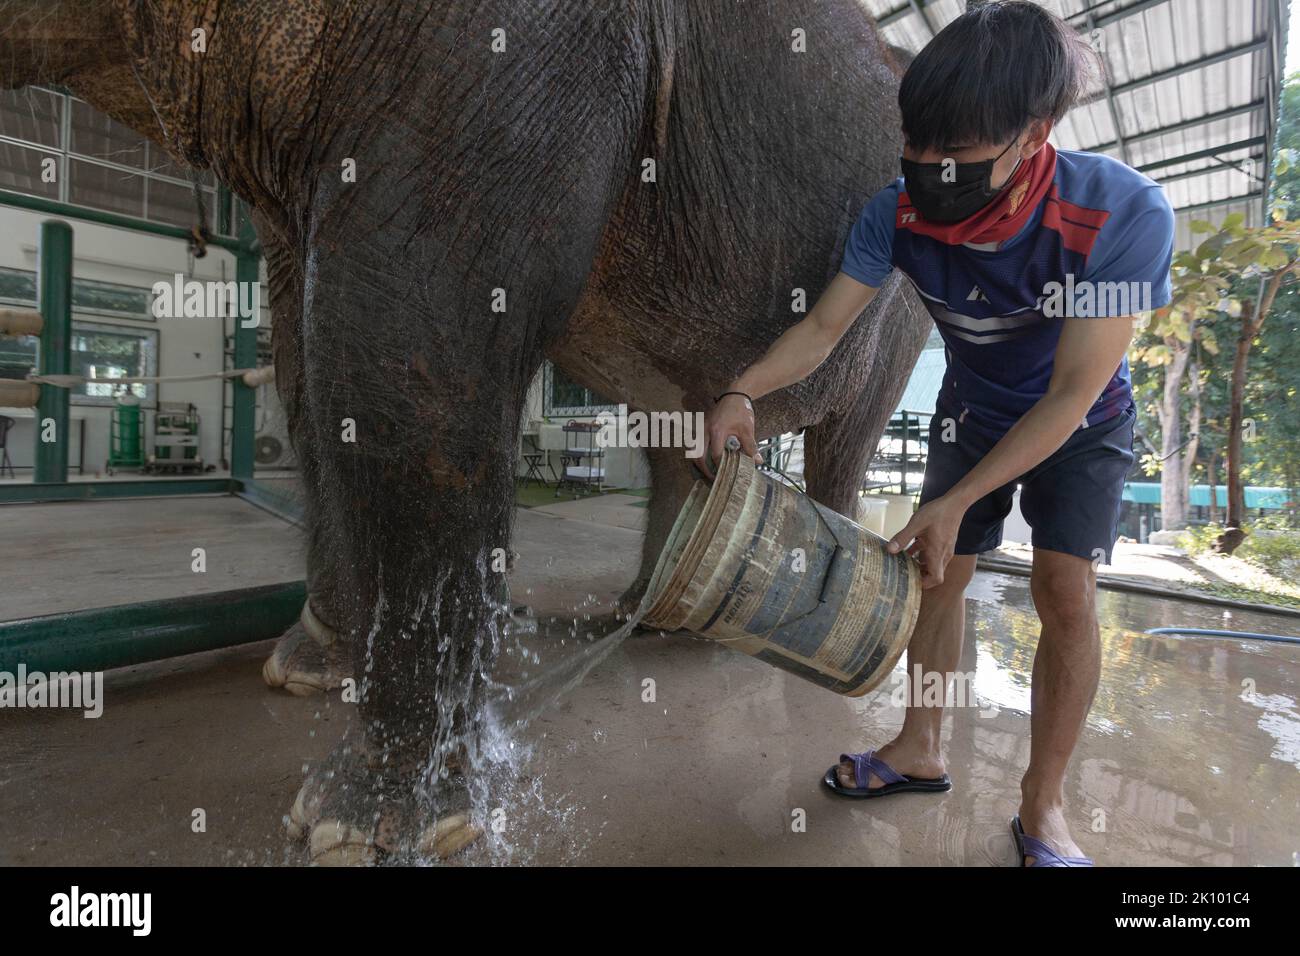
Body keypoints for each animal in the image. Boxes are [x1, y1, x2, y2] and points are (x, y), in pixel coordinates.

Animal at [2, 0, 930, 863]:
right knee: (676, 429)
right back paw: (651, 611)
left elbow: (408, 324)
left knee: (844, 440)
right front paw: (312, 670)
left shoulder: (520, 45)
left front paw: (372, 829)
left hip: (898, 304)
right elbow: (302, 359)